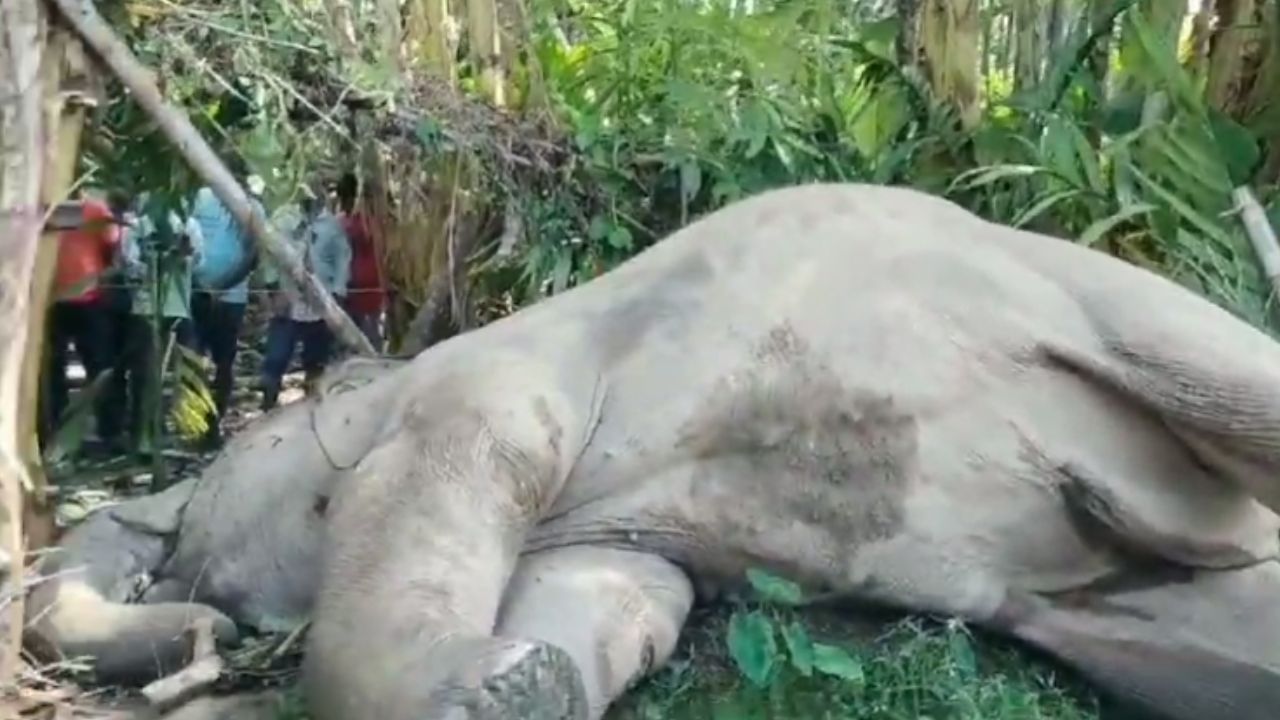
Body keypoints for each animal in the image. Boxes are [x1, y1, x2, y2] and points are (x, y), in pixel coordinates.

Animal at [24, 182, 1280, 720]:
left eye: (251, 448)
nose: (205, 622)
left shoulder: (486, 380)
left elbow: (459, 456)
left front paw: (490, 695)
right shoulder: (620, 534)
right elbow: (615, 599)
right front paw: (521, 685)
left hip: (1087, 292)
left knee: (1212, 369)